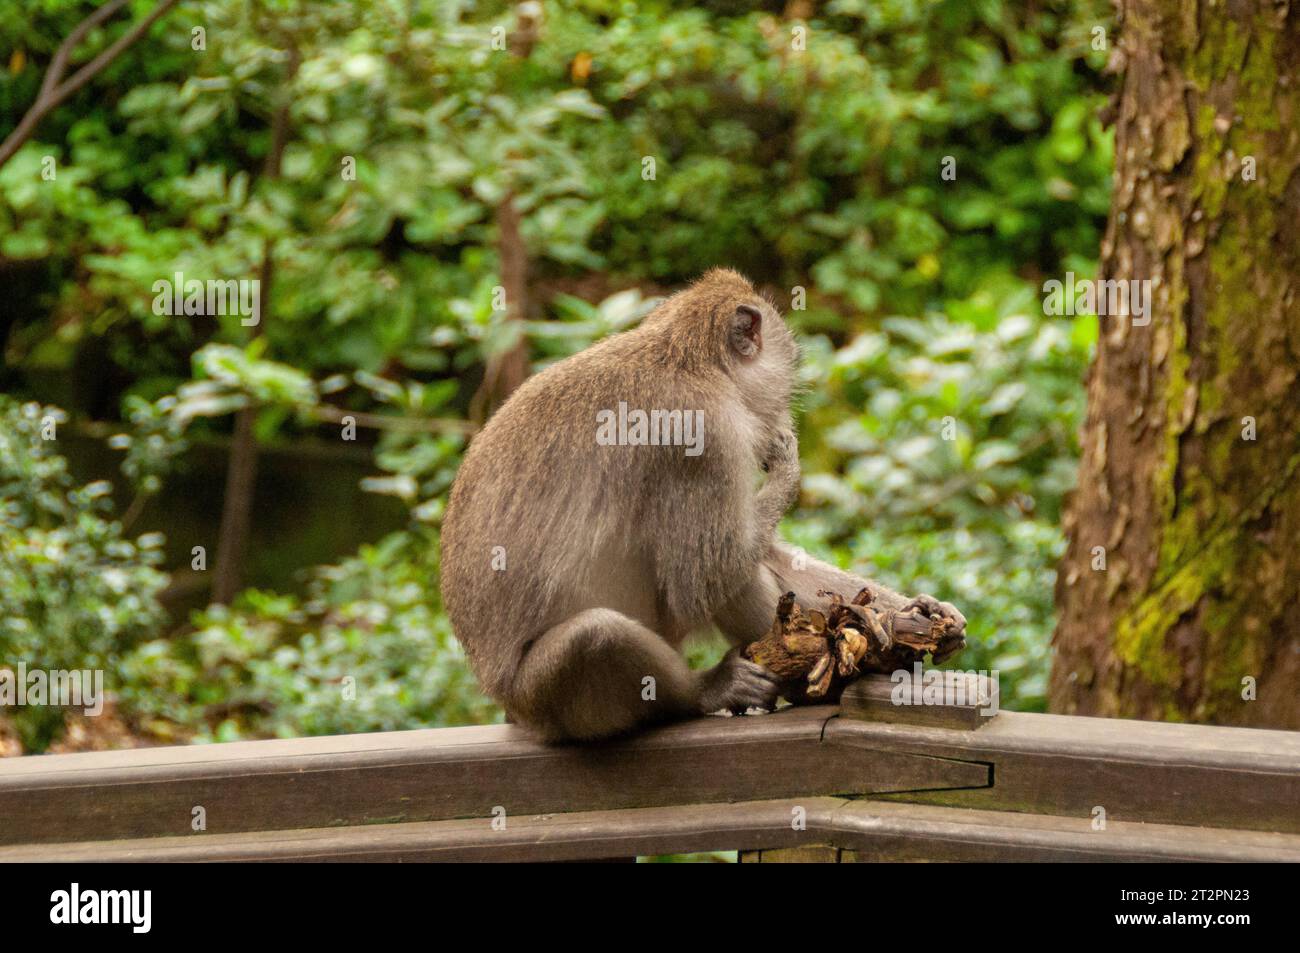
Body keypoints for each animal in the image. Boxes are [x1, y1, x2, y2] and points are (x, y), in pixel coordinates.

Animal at [440, 269, 965, 742]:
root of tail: (508, 706)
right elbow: (705, 577)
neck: (688, 360)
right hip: (546, 702)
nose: (783, 415)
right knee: (599, 634)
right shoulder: (705, 436)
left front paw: (909, 613)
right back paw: (717, 690)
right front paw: (788, 466)